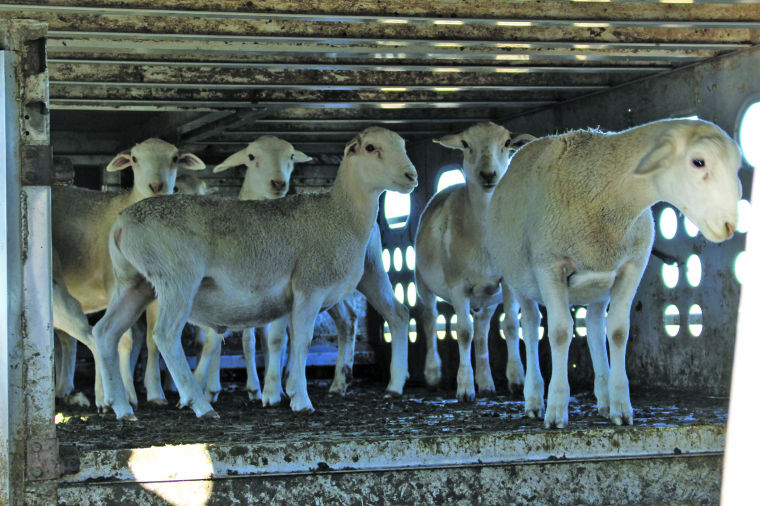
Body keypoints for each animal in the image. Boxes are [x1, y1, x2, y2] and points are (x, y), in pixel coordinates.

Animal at [52, 138, 205, 408]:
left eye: (175, 158)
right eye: (135, 159)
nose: (156, 186)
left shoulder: (156, 290)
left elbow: (152, 340)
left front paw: (155, 392)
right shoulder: (115, 284)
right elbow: (122, 338)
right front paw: (126, 393)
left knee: (67, 339)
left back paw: (65, 389)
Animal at [91, 127, 418, 420]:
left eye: (403, 145)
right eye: (371, 148)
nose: (411, 176)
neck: (341, 214)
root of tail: (122, 223)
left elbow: (284, 341)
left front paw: (284, 392)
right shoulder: (309, 286)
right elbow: (302, 339)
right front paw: (300, 399)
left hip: (134, 283)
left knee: (106, 333)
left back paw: (121, 408)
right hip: (176, 277)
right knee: (165, 335)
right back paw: (200, 404)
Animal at [414, 122, 534, 401]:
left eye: (506, 143)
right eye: (466, 144)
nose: (488, 174)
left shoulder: (507, 283)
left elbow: (511, 326)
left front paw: (517, 381)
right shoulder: (458, 284)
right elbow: (463, 332)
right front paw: (465, 388)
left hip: (487, 298)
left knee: (482, 333)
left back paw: (487, 382)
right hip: (422, 280)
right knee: (429, 319)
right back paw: (433, 374)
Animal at [485, 118, 742, 428]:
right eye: (698, 161)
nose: (729, 225)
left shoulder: (633, 266)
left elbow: (618, 332)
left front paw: (621, 405)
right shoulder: (549, 265)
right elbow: (559, 332)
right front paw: (557, 409)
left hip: (598, 288)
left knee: (595, 325)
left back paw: (605, 398)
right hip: (518, 280)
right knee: (532, 325)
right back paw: (534, 398)